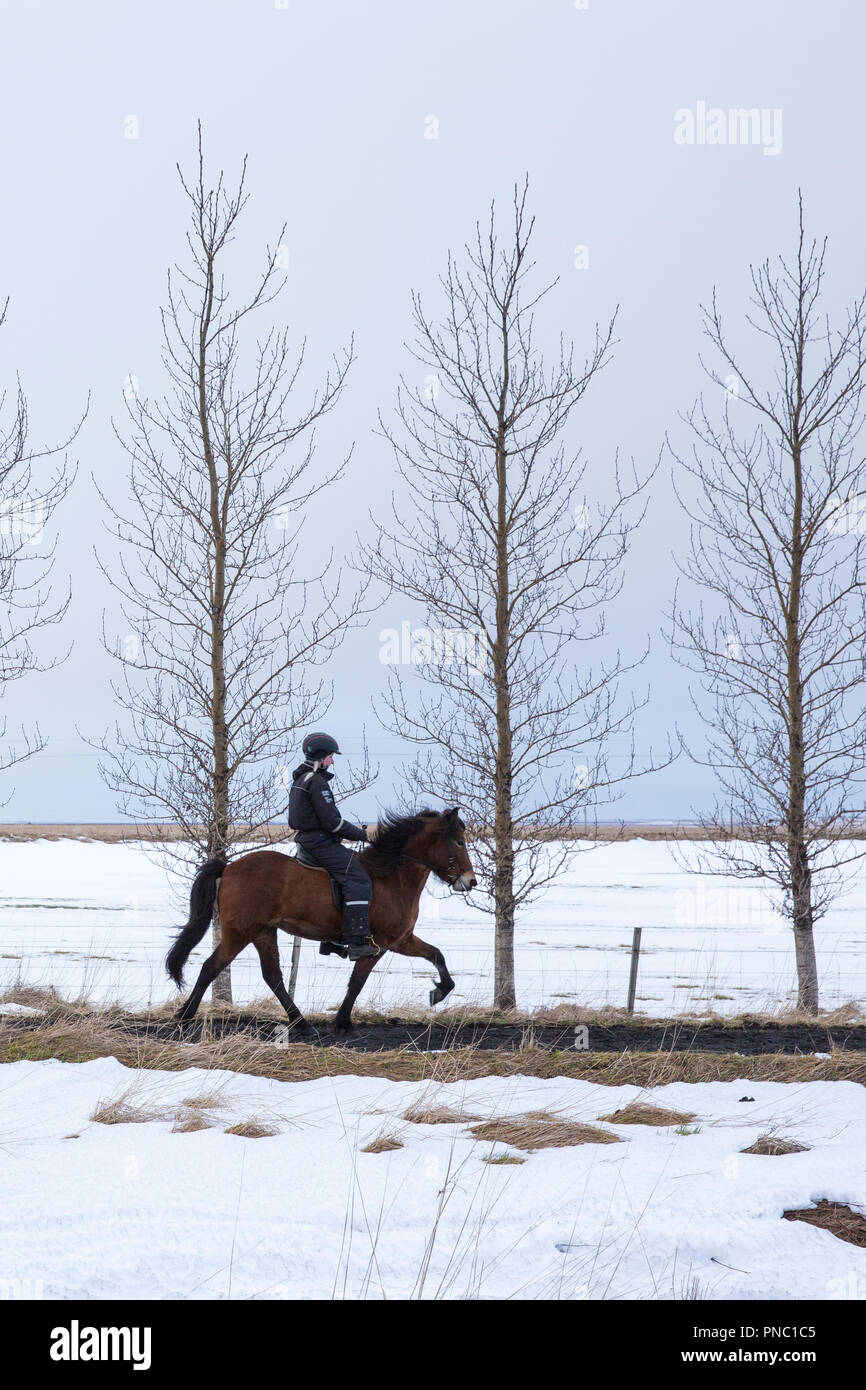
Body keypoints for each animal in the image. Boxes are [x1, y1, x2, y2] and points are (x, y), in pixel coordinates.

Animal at [165, 807, 477, 1035]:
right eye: (459, 841)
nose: (470, 882)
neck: (391, 876)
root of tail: (229, 867)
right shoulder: (378, 944)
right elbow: (358, 981)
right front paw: (342, 1022)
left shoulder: (401, 940)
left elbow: (436, 955)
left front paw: (439, 992)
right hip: (239, 933)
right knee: (211, 968)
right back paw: (185, 1016)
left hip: (263, 932)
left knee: (273, 977)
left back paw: (301, 1023)